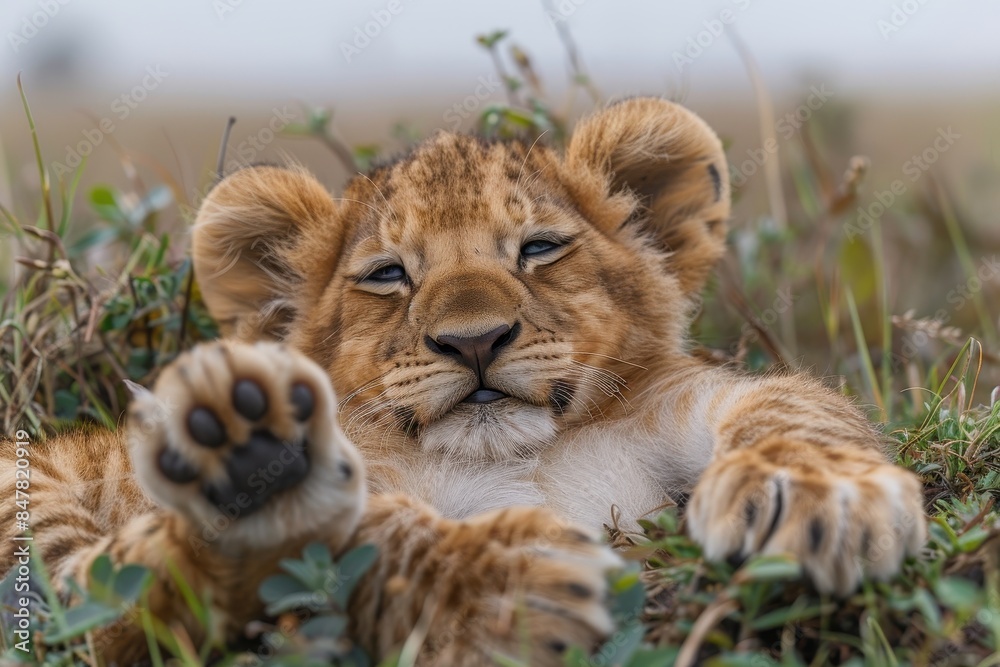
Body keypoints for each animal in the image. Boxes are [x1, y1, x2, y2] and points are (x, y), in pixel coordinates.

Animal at [0, 98, 926, 665]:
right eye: (387, 274)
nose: (473, 340)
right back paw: (243, 454)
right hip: (27, 491)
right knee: (88, 607)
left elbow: (791, 406)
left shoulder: (696, 396)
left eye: (538, 248)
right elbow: (382, 537)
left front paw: (819, 499)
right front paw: (507, 592)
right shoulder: (369, 485)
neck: (516, 456)